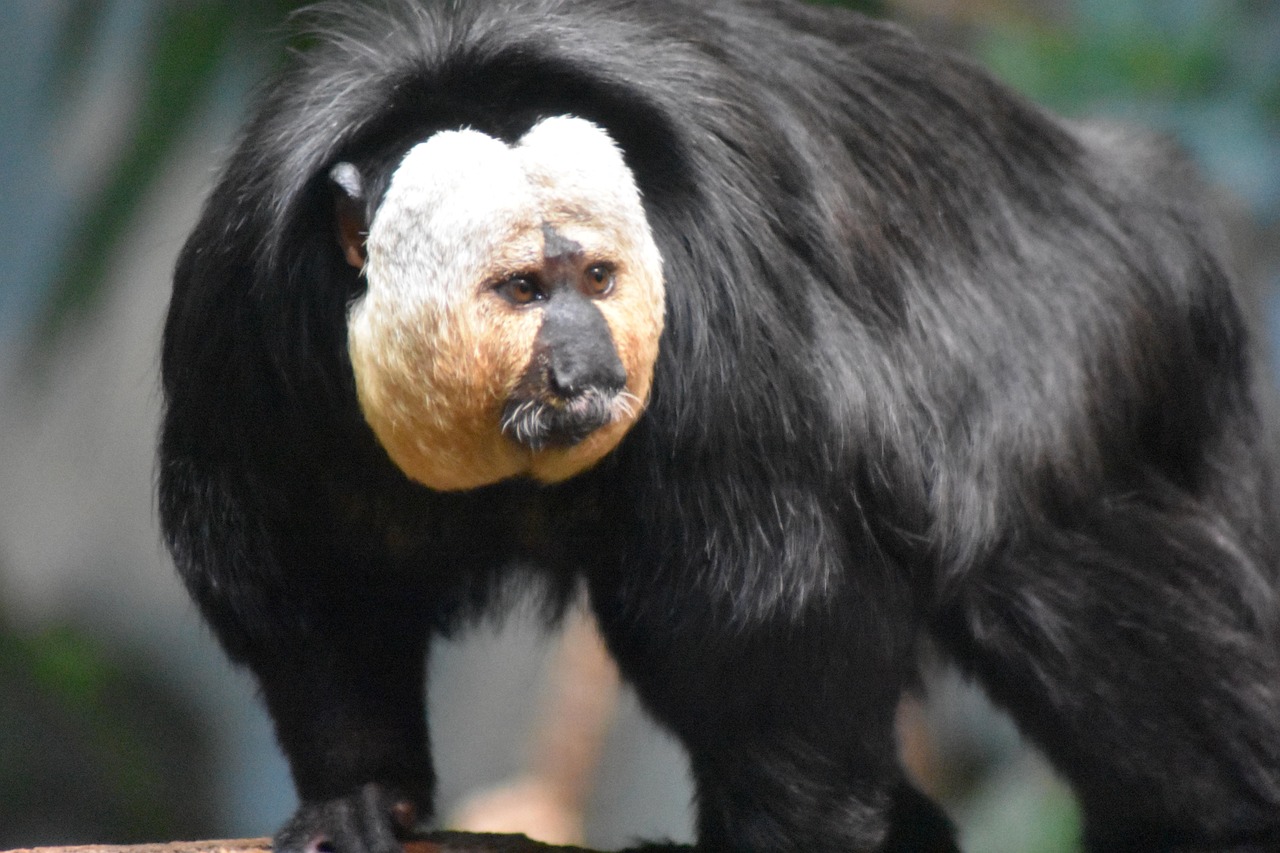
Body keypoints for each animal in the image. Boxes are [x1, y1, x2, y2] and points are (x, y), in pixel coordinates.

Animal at [158, 0, 1280, 851]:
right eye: (523, 288)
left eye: (597, 277)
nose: (585, 362)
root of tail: (1119, 183)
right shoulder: (238, 318)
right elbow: (306, 590)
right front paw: (360, 793)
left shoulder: (719, 320)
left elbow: (776, 623)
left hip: (1079, 340)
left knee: (1065, 587)